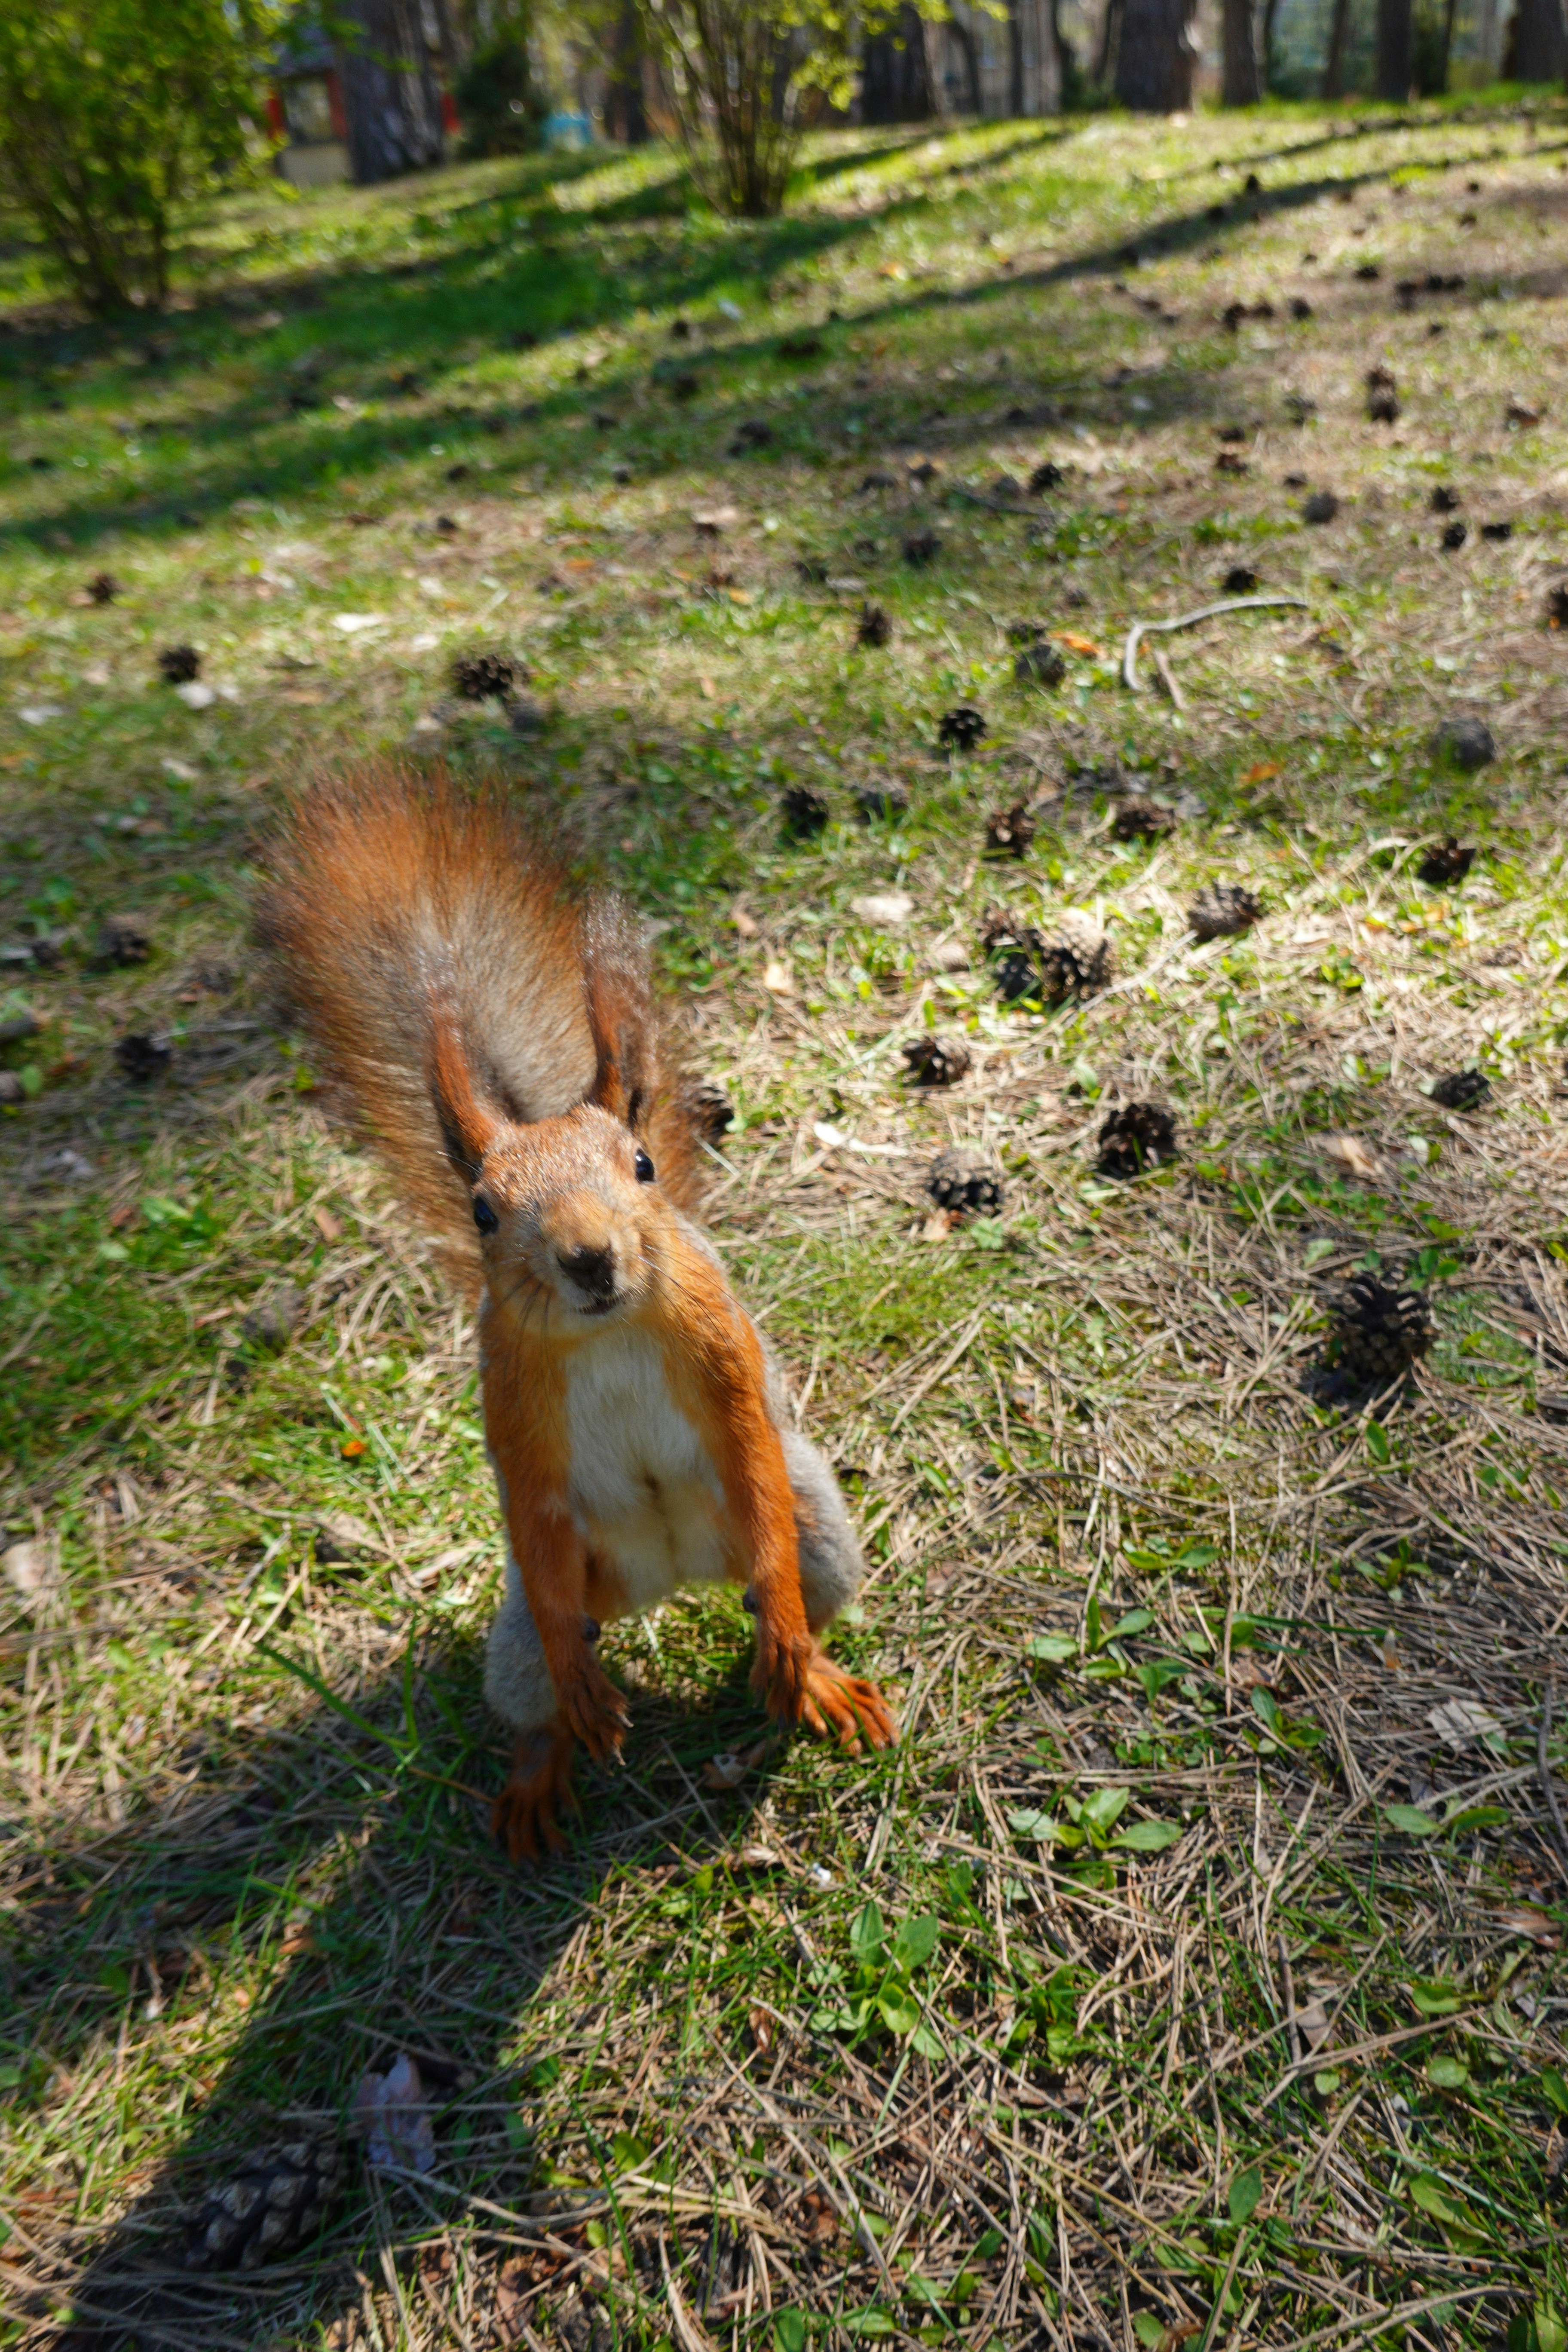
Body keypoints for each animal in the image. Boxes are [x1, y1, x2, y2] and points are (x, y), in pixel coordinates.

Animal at [258, 766, 895, 1861]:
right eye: (481, 1210)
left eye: (640, 1166)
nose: (589, 1254)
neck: (608, 1332)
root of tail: (670, 1581)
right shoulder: (514, 1407)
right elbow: (532, 1496)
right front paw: (575, 1707)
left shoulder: (723, 1358)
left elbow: (749, 1454)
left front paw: (783, 1640)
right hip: (522, 1625)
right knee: (538, 1693)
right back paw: (539, 1773)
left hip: (822, 1534)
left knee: (797, 1570)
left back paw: (807, 1673)